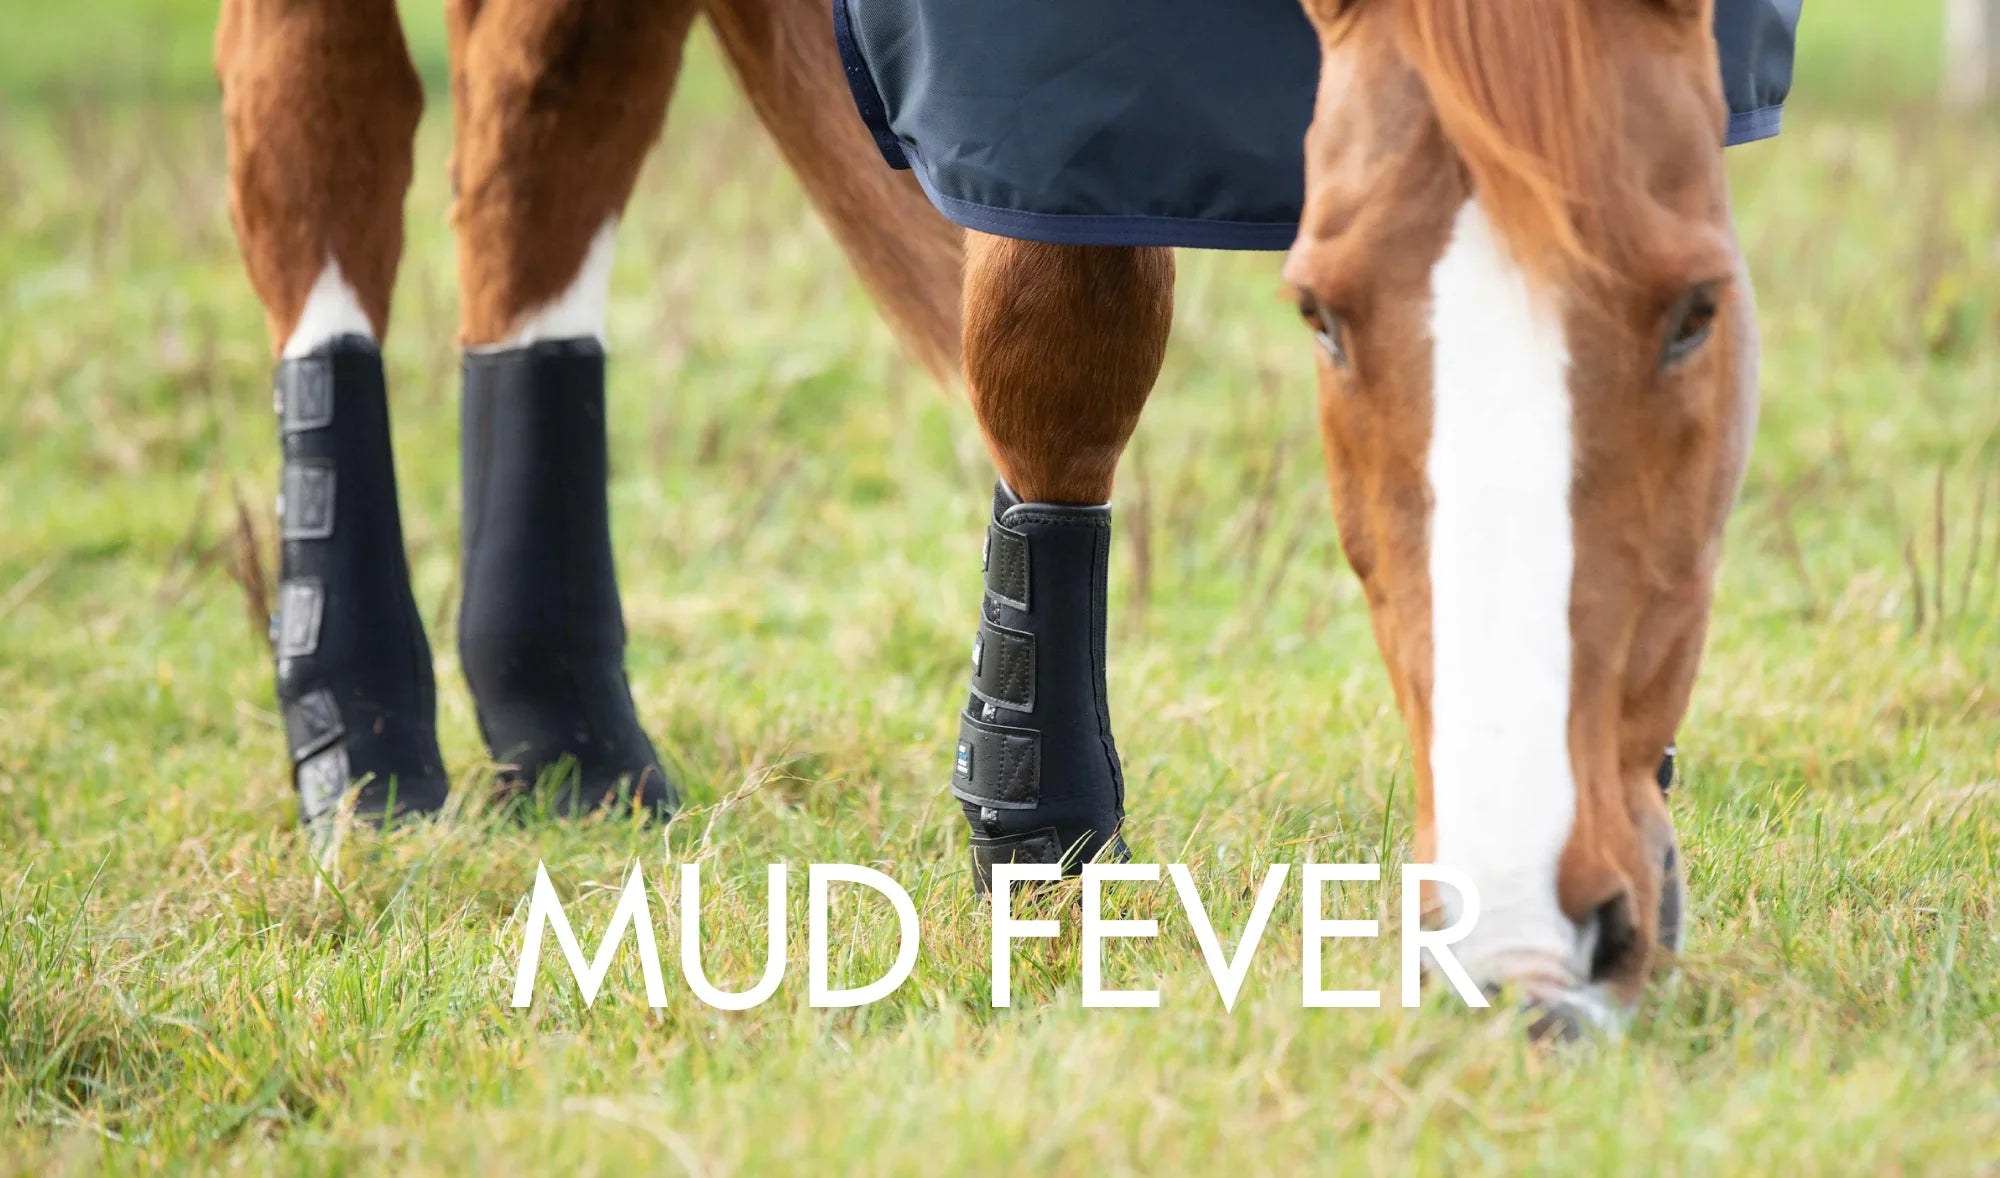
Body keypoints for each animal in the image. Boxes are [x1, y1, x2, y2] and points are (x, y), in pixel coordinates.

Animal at [216, 0, 1781, 1035]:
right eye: (1320, 317)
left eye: (1700, 309)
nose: (1528, 933)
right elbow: (1065, 317)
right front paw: (1041, 836)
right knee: (316, 118)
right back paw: (361, 750)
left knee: (544, 134)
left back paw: (571, 741)